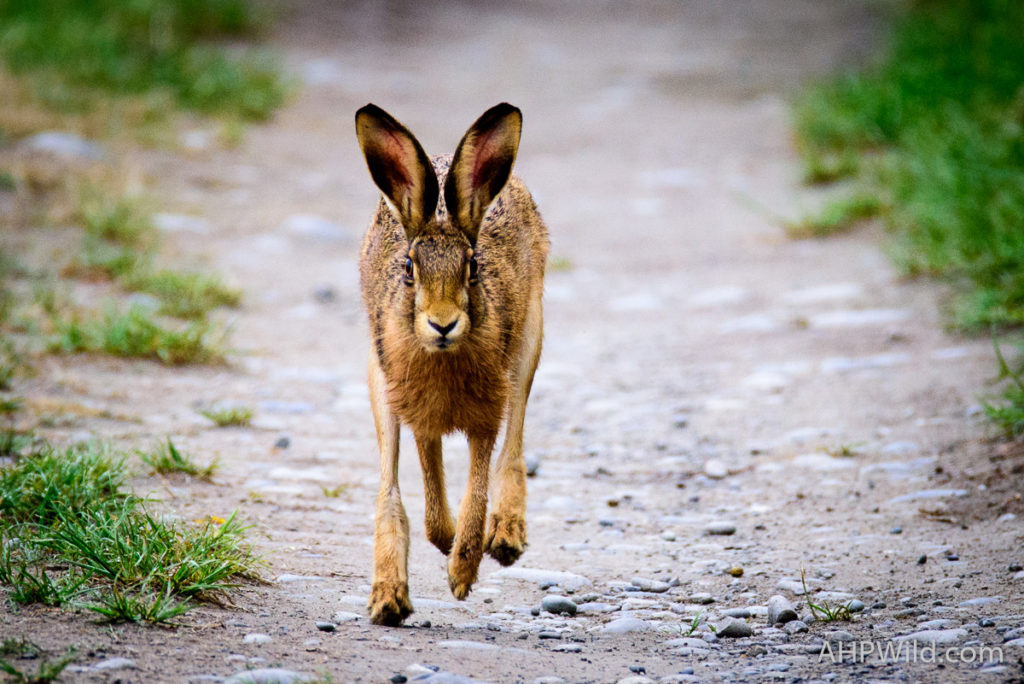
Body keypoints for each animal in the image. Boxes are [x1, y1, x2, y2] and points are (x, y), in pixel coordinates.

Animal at [355, 103, 549, 626]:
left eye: (473, 267)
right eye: (409, 269)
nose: (442, 324)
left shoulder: (486, 416)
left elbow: (476, 489)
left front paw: (463, 569)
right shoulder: (418, 416)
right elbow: (429, 498)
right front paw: (445, 547)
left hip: (529, 342)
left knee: (514, 443)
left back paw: (505, 536)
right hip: (378, 379)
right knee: (390, 487)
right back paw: (389, 596)